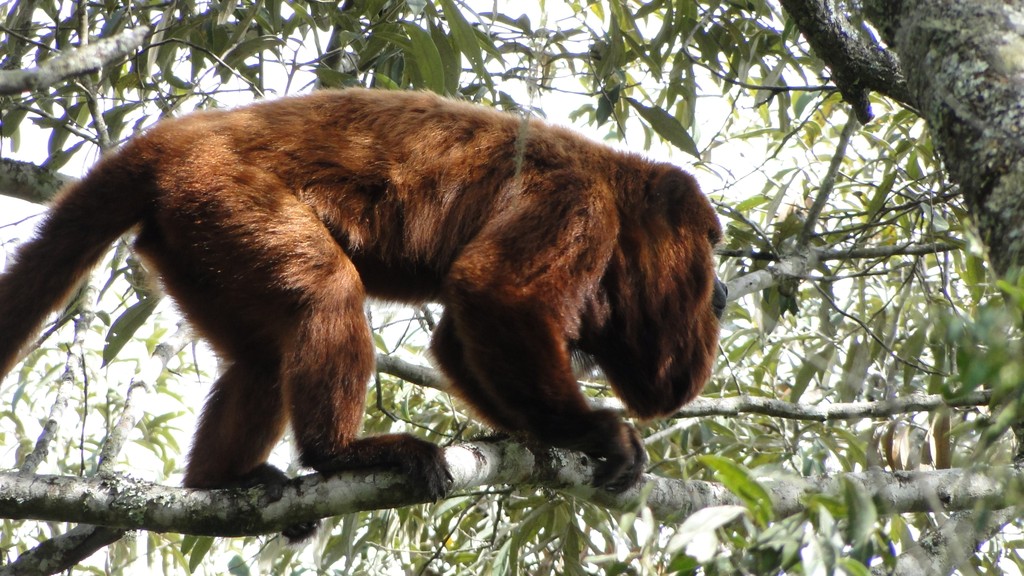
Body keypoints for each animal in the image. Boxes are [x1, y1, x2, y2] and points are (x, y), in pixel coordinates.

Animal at [0, 88, 725, 516]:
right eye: (711, 245)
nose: (720, 293)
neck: (614, 188)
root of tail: (173, 139)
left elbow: (456, 340)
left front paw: (536, 434)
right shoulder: (576, 204)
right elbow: (495, 292)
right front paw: (591, 432)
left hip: (192, 235)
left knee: (263, 356)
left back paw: (219, 483)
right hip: (223, 194)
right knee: (327, 289)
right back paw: (338, 454)